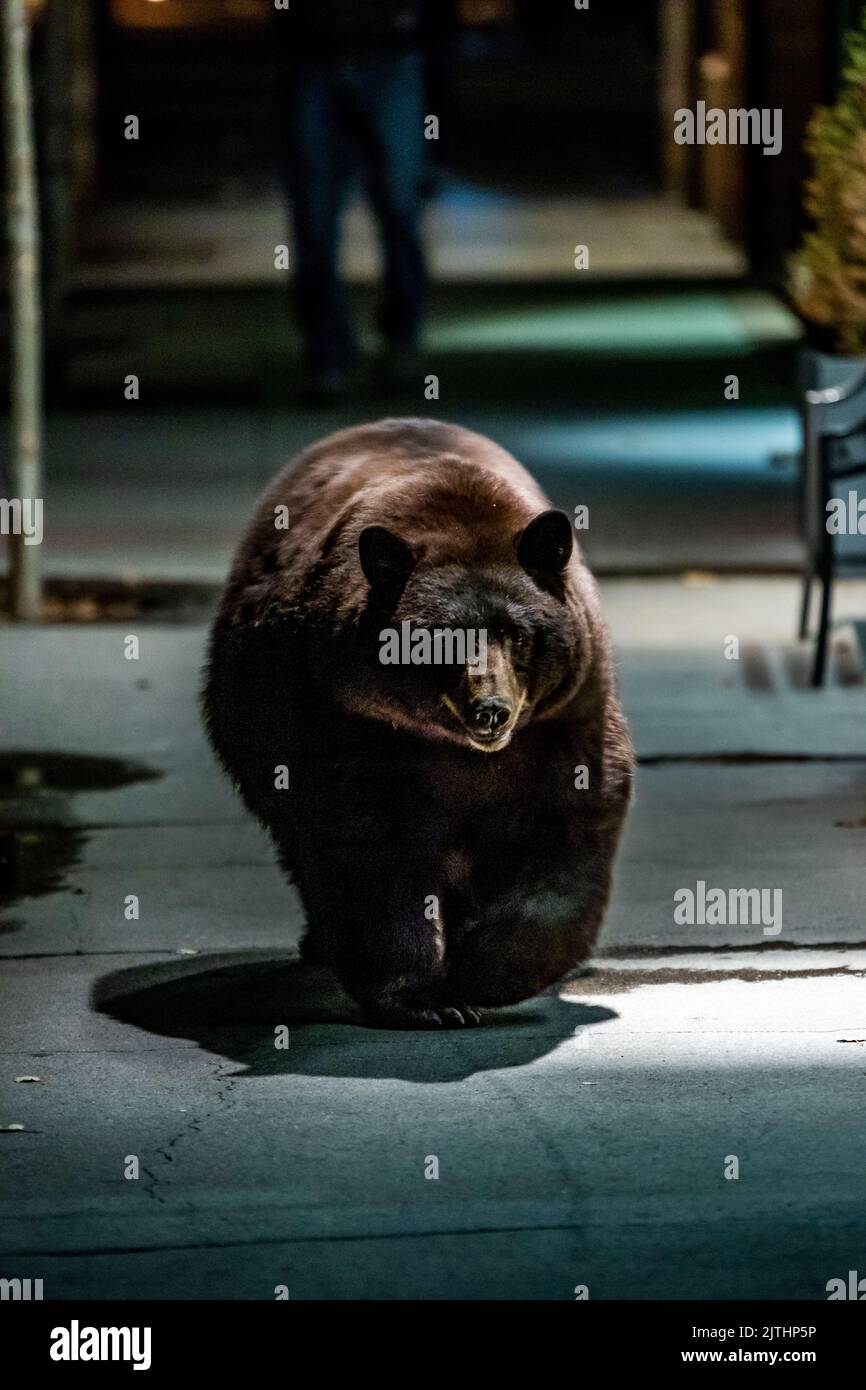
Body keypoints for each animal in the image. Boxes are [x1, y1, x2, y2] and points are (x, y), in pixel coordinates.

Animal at [203, 418, 634, 1029]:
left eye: (517, 633)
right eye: (436, 639)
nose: (491, 709)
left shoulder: (566, 722)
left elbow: (567, 832)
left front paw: (487, 972)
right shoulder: (347, 723)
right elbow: (374, 856)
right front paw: (424, 999)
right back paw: (322, 941)